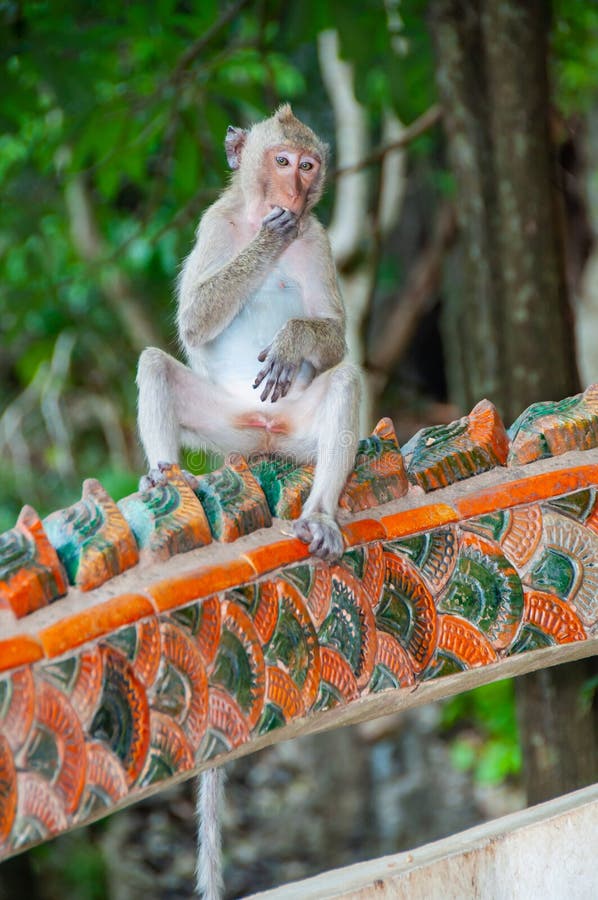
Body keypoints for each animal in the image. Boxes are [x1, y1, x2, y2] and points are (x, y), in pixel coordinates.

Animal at [135, 105, 361, 899]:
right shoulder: (213, 223)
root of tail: (257, 442)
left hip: (290, 427)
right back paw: (167, 483)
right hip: (224, 422)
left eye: (309, 164)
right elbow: (194, 318)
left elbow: (334, 338)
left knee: (344, 379)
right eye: (284, 161)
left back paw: (320, 515)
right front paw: (268, 237)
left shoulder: (320, 238)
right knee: (155, 364)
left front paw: (295, 337)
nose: (297, 190)